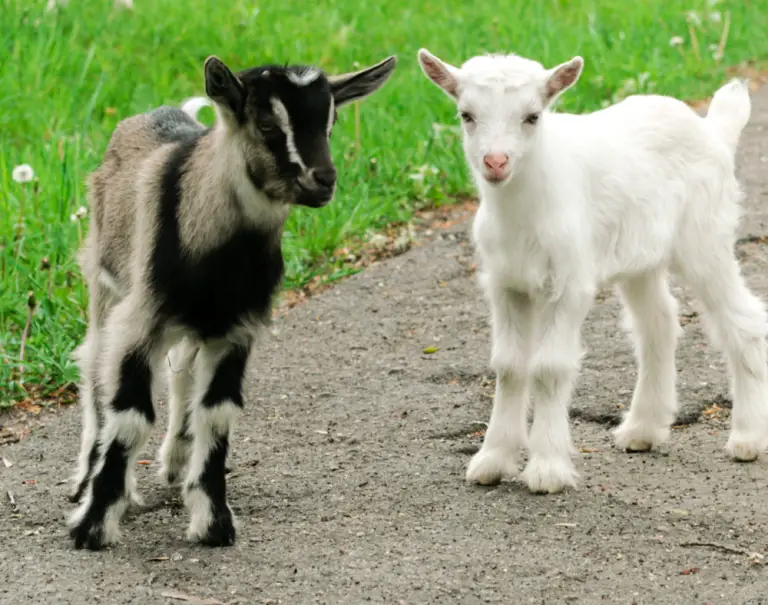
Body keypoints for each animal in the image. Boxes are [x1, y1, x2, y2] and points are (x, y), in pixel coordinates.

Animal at [68, 54, 397, 549]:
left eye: (331, 121)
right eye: (266, 123)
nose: (323, 181)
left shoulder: (234, 329)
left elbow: (218, 414)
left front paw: (213, 521)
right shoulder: (139, 322)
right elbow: (129, 416)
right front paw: (93, 526)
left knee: (181, 371)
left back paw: (176, 459)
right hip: (106, 284)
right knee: (93, 365)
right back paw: (87, 479)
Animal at [418, 48, 768, 494]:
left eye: (532, 116)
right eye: (466, 114)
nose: (495, 162)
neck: (523, 207)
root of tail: (713, 132)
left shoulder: (569, 283)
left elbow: (549, 368)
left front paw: (547, 468)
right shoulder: (505, 283)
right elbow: (509, 366)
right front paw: (493, 460)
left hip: (705, 238)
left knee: (743, 321)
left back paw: (747, 438)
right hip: (641, 257)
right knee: (658, 323)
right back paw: (642, 429)